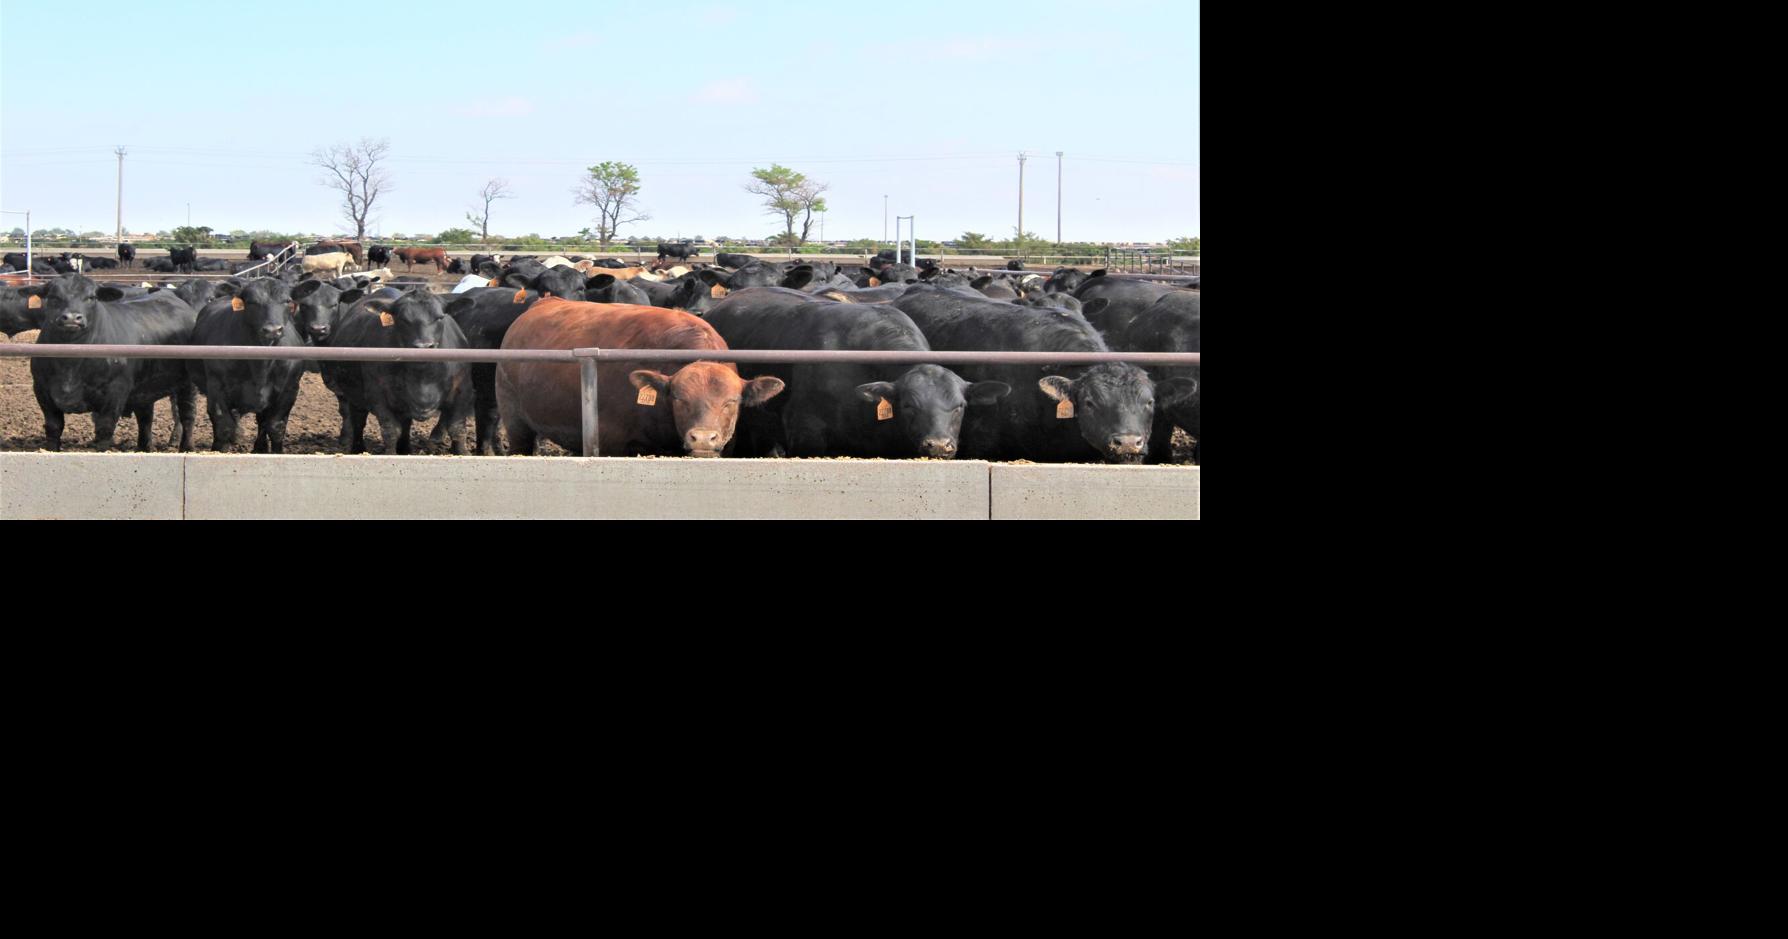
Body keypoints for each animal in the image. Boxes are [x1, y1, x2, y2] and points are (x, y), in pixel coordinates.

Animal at [17, 274, 199, 451]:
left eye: (91, 297)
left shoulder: (115, 392)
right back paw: (144, 448)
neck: (70, 364)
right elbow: (54, 427)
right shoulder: (42, 389)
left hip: (187, 384)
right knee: (145, 417)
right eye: (54, 296)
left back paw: (186, 447)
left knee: (187, 415)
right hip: (145, 388)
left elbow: (104, 429)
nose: (72, 318)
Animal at [185, 279, 306, 453]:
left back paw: (259, 448)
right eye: (251, 302)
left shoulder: (290, 388)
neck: (260, 365)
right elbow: (223, 425)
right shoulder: (216, 387)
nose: (272, 330)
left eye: (287, 301)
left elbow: (276, 427)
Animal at [319, 288, 473, 454]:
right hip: (355, 395)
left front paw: (462, 453)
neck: (423, 375)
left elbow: (456, 429)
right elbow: (391, 431)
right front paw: (391, 454)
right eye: (403, 319)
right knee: (359, 421)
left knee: (405, 423)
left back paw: (405, 449)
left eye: (440, 317)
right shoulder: (377, 395)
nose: (424, 346)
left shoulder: (462, 391)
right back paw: (358, 449)